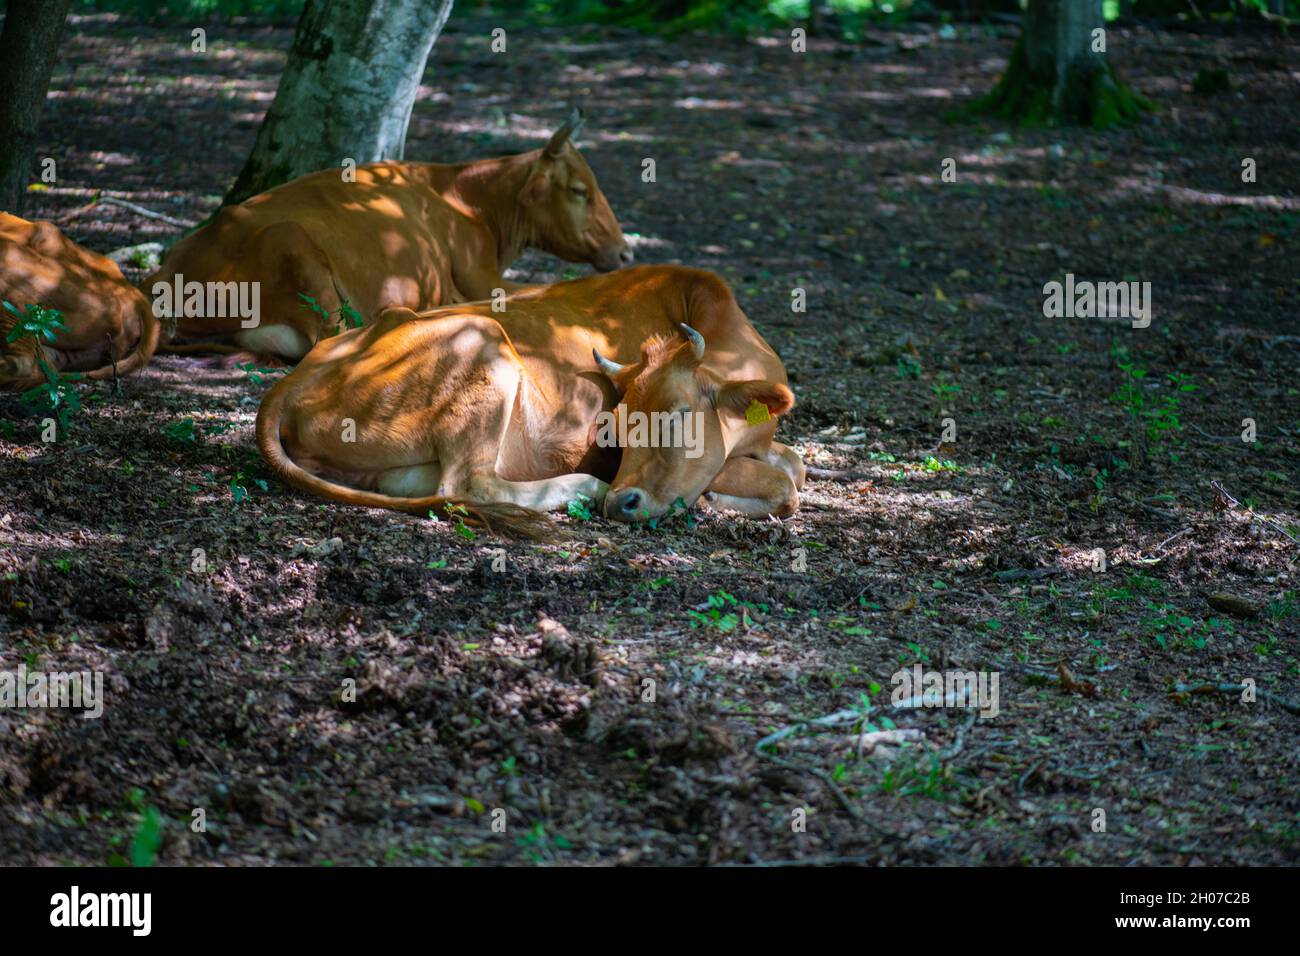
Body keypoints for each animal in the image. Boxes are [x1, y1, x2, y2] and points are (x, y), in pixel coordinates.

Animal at [147, 108, 630, 362]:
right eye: (579, 190)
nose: (625, 253)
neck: (468, 200)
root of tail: (169, 273)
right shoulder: (481, 275)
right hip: (294, 246)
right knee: (332, 338)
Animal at [255, 266, 805, 536]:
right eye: (615, 429)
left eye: (678, 416)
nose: (624, 502)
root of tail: (293, 381)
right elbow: (784, 482)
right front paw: (714, 498)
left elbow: (795, 467)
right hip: (483, 343)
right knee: (469, 483)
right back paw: (585, 489)